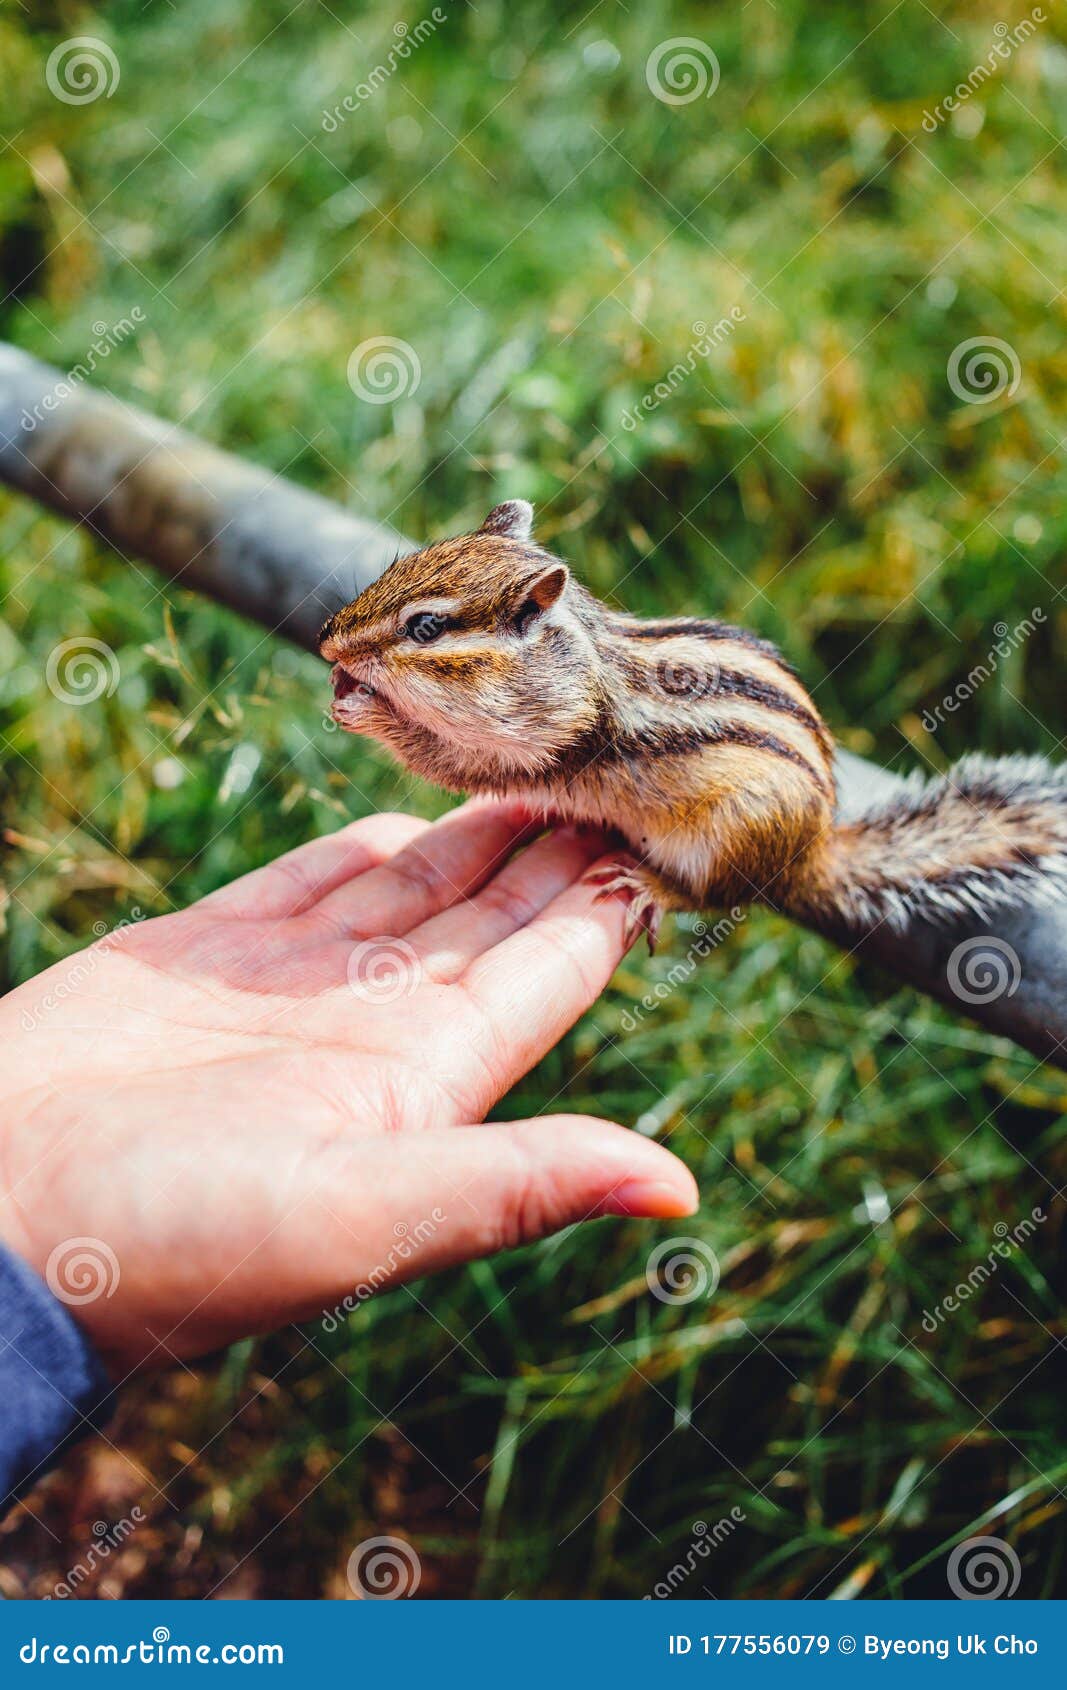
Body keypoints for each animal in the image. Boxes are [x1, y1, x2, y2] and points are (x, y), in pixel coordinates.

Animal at [318, 500, 1067, 950]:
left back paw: (653, 887)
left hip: (729, 836)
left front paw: (365, 708)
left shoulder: (549, 739)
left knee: (715, 900)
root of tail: (811, 853)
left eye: (426, 626)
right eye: (398, 565)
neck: (577, 661)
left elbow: (460, 765)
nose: (328, 644)